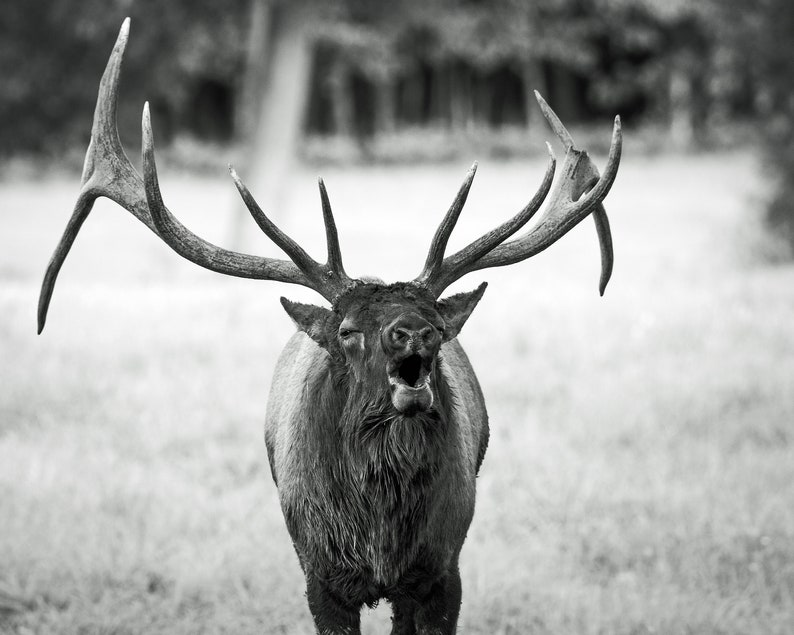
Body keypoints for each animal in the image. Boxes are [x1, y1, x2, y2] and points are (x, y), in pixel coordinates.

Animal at [38, 19, 621, 635]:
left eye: (439, 323)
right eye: (347, 330)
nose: (413, 332)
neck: (381, 539)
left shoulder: (445, 571)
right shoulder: (319, 576)